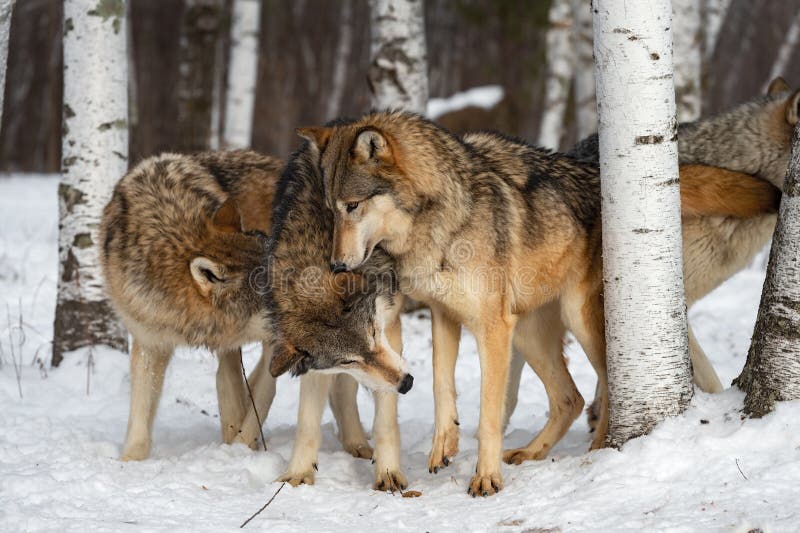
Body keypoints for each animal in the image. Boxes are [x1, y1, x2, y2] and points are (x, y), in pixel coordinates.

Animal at [100, 150, 372, 463]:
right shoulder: (150, 341)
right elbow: (141, 412)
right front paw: (130, 461)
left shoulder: (238, 346)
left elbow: (238, 394)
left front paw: (237, 448)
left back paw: (358, 445)